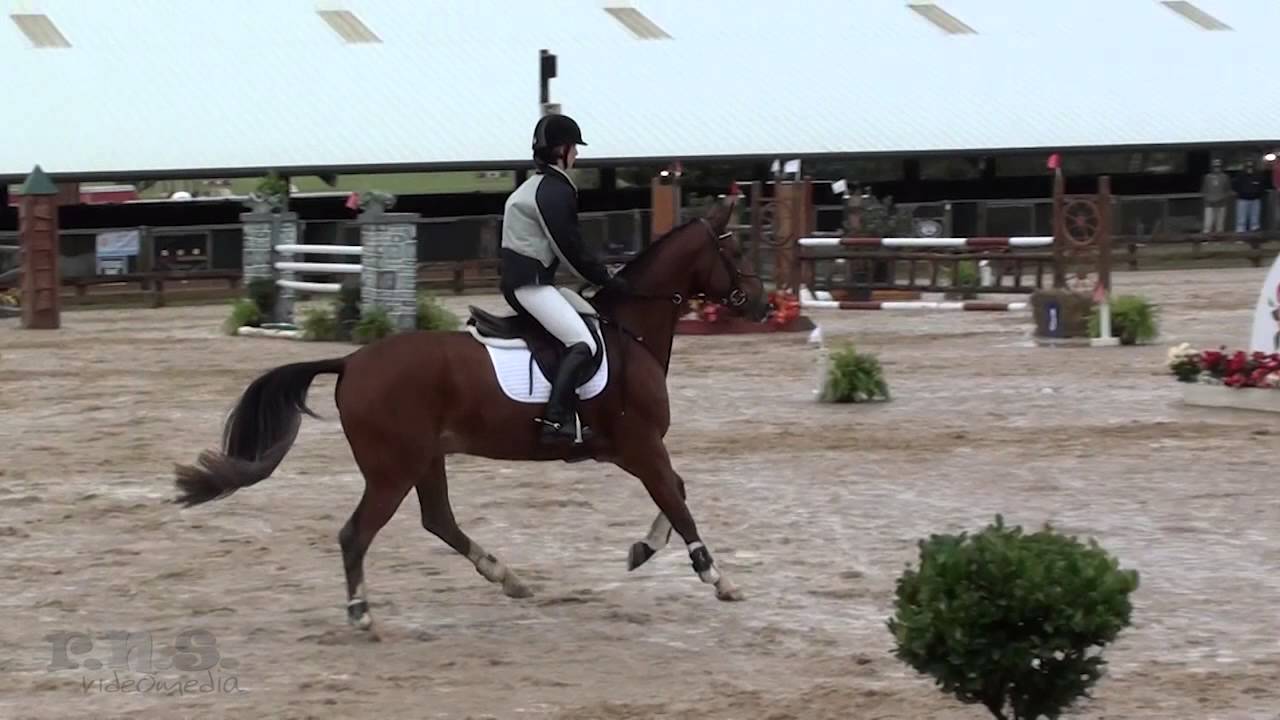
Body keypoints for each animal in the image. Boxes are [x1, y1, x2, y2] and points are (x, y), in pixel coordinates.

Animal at [172, 194, 768, 633]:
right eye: (736, 250)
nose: (762, 306)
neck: (630, 333)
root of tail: (350, 360)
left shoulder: (630, 450)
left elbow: (676, 493)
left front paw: (642, 550)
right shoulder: (640, 445)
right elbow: (679, 501)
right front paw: (717, 578)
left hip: (424, 458)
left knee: (438, 520)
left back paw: (507, 577)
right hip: (393, 469)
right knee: (356, 534)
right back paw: (362, 615)